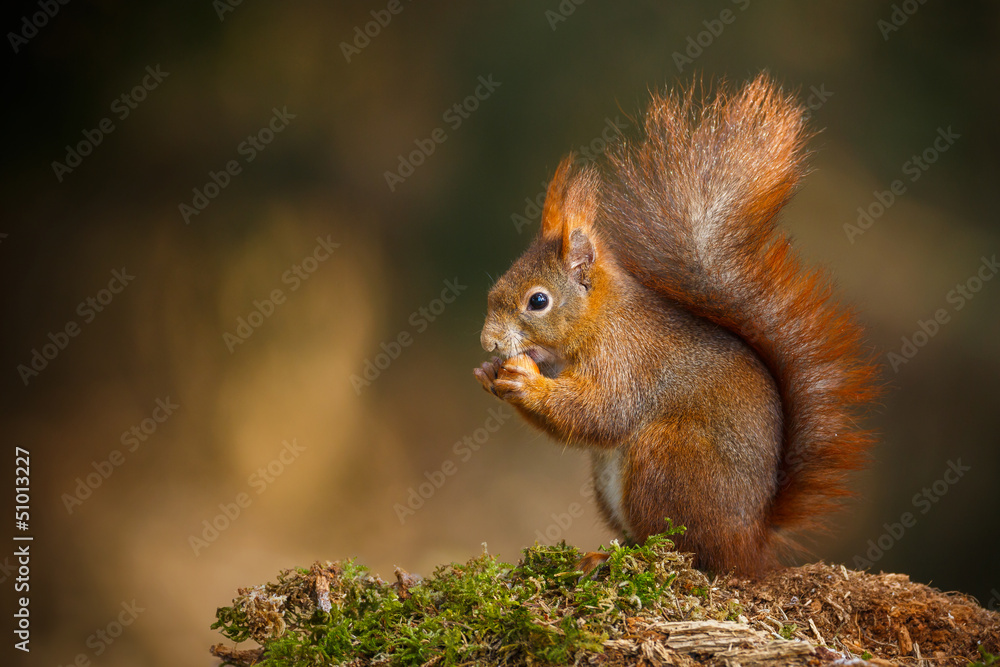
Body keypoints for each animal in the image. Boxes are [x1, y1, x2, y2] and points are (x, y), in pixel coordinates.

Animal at [473, 75, 880, 576]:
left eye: (538, 301)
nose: (488, 342)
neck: (600, 319)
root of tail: (752, 543)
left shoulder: (626, 360)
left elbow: (600, 413)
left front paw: (524, 380)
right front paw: (490, 374)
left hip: (669, 457)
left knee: (690, 551)